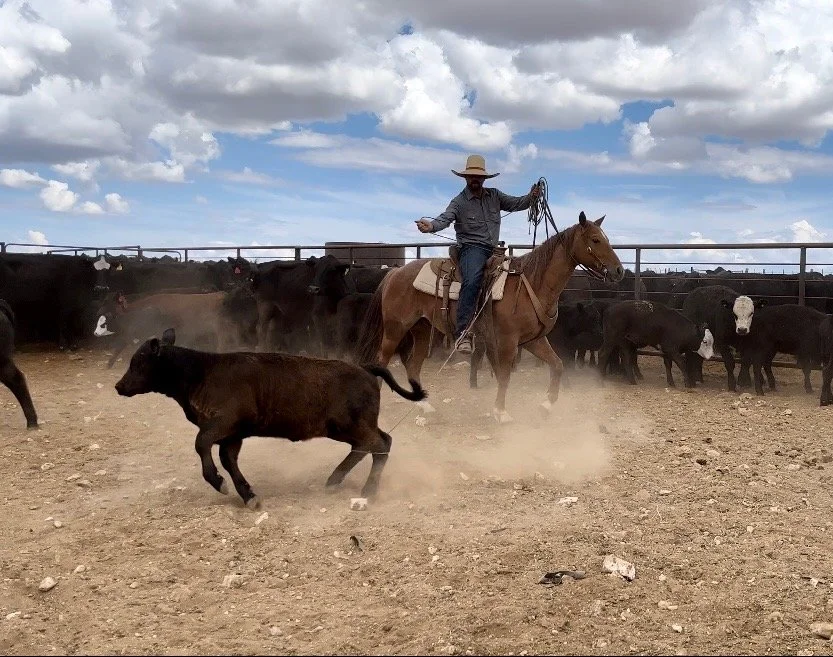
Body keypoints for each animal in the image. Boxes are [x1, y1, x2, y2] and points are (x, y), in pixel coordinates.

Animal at [356, 211, 624, 423]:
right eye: (595, 239)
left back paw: (425, 406)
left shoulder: (533, 340)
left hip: (422, 330)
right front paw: (500, 412)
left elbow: (557, 365)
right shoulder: (507, 341)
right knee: (382, 362)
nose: (619, 271)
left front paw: (546, 406)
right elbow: (504, 376)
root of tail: (395, 273)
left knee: (413, 366)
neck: (532, 283)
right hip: (395, 330)